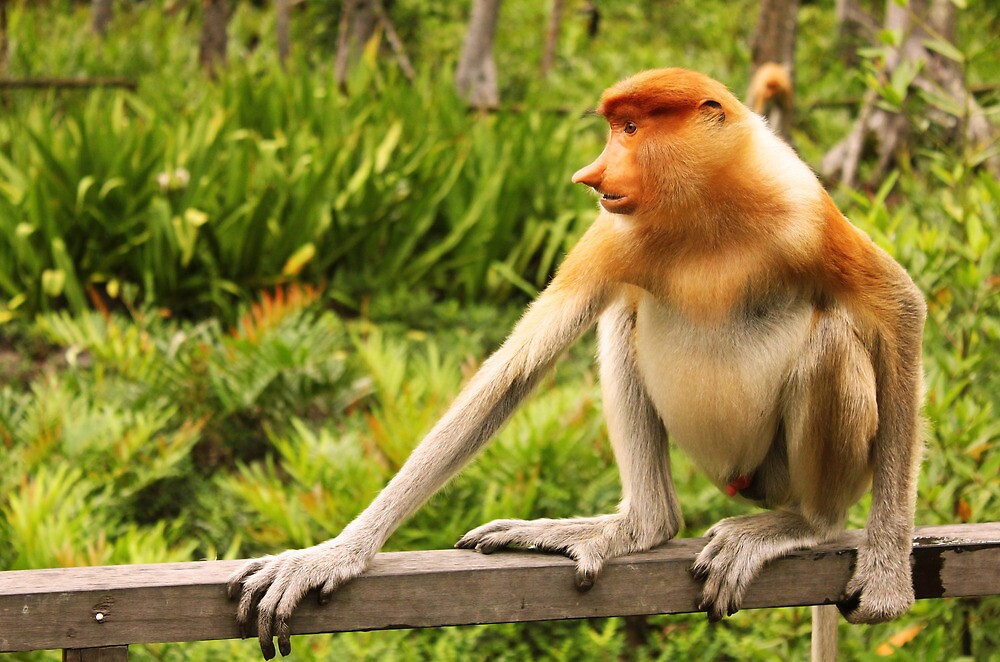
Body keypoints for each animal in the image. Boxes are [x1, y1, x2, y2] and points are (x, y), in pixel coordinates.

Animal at [227, 68, 925, 659]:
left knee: (833, 338)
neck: (704, 211)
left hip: (788, 467)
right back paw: (640, 525)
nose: (591, 175)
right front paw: (333, 555)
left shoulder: (806, 210)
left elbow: (899, 310)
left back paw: (806, 524)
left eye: (632, 128)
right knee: (625, 314)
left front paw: (888, 580)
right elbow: (515, 370)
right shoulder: (614, 233)